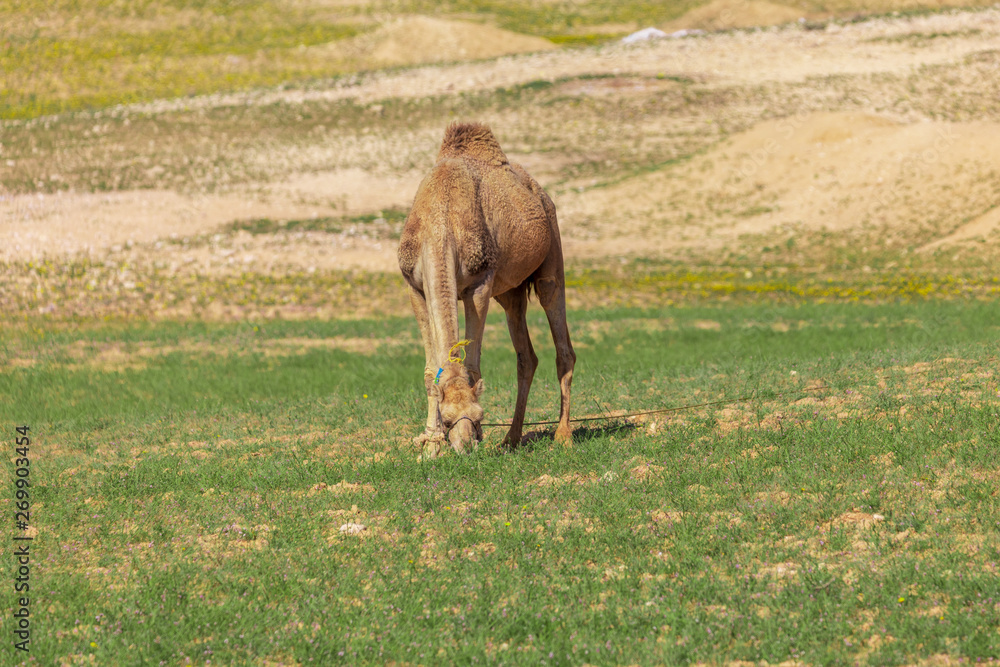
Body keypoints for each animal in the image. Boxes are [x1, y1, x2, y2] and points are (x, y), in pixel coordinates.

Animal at [398, 122, 576, 458]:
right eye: (448, 419)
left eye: (480, 415)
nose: (466, 445)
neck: (440, 223)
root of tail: (540, 192)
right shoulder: (415, 287)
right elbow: (429, 371)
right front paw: (430, 446)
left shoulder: (479, 284)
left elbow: (472, 364)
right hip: (510, 292)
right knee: (526, 355)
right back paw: (511, 439)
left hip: (552, 250)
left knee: (561, 339)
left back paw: (563, 435)